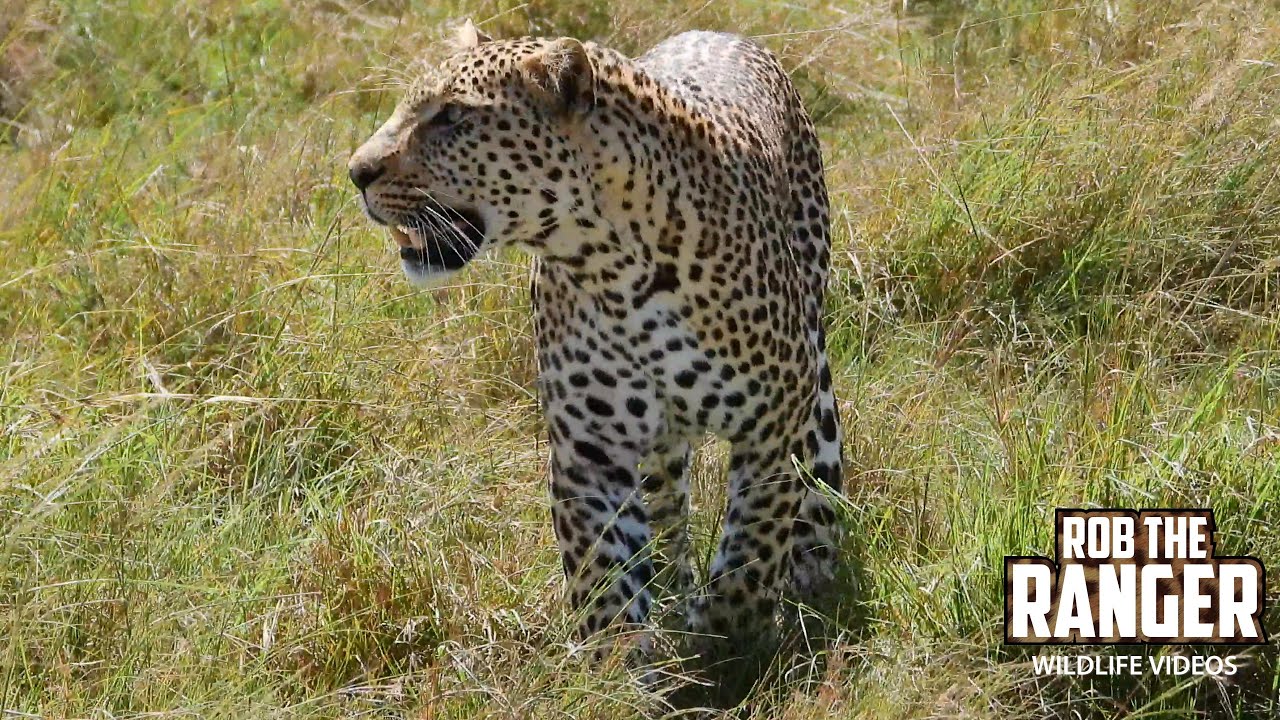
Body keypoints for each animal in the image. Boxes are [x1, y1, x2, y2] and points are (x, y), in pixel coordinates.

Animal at [347, 19, 845, 650]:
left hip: (813, 354)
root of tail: (712, 30)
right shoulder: (590, 447)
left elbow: (754, 545)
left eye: (452, 117)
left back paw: (816, 573)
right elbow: (605, 582)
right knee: (669, 505)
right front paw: (625, 659)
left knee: (818, 474)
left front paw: (727, 636)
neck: (613, 266)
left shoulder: (772, 416)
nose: (355, 173)